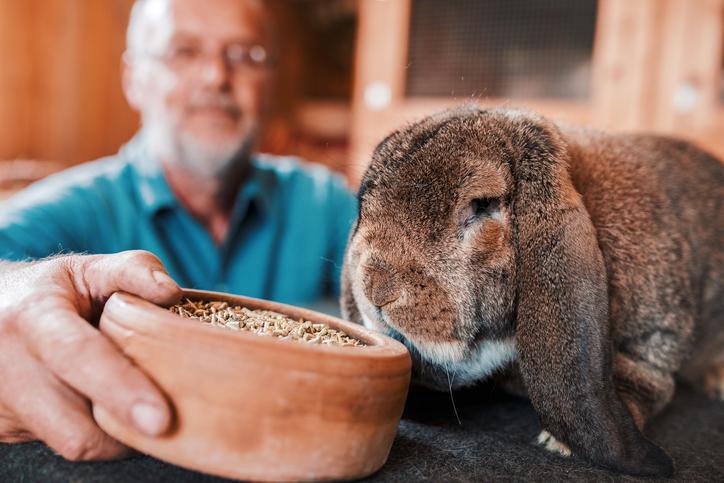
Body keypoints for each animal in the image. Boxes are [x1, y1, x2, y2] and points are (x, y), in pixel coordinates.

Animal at [340, 106, 724, 477]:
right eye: (366, 199)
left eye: (482, 205)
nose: (376, 287)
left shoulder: (654, 348)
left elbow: (641, 387)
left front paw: (558, 445)